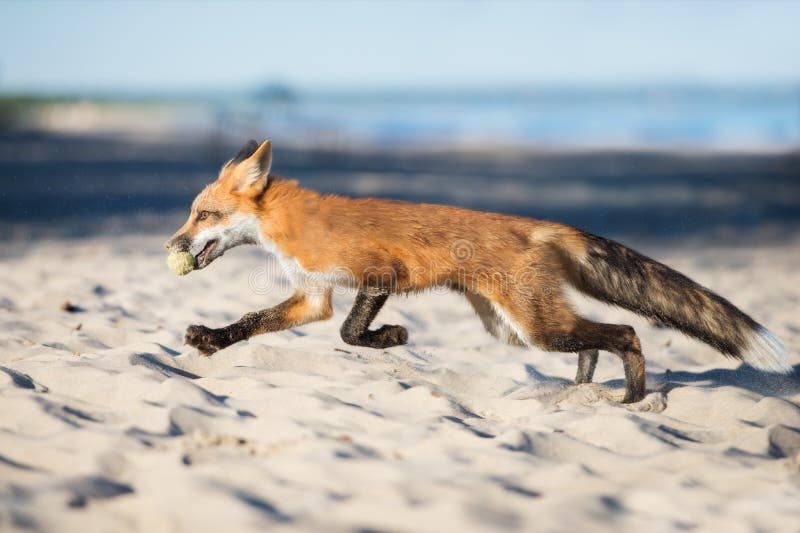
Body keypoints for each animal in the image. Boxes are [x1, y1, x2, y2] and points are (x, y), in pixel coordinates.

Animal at [165, 139, 791, 403]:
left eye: (203, 215)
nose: (172, 243)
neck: (288, 225)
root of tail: (537, 223)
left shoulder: (378, 273)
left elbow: (349, 331)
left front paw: (390, 337)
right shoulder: (311, 296)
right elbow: (252, 321)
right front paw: (212, 340)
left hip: (534, 326)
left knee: (627, 332)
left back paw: (634, 399)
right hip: (518, 329)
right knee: (595, 340)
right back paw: (583, 390)